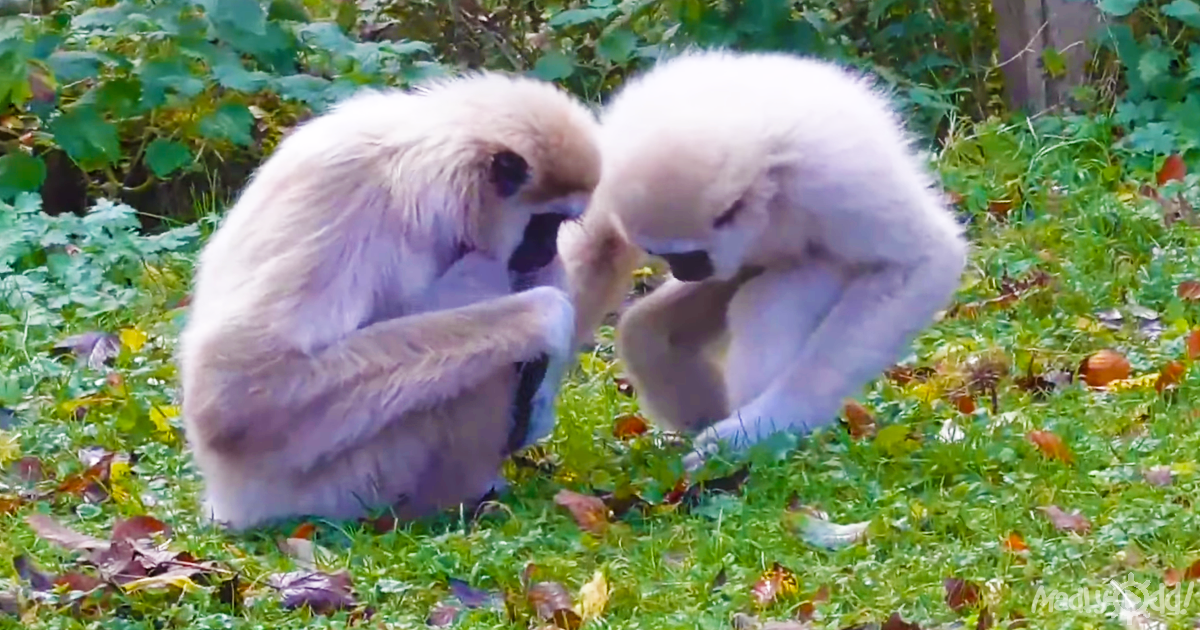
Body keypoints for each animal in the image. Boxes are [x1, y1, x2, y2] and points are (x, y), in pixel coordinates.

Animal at [176, 71, 601, 530]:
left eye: (558, 224)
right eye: (545, 223)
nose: (546, 249)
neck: (417, 183)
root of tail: (227, 502)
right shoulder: (341, 188)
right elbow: (235, 393)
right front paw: (548, 317)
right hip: (337, 486)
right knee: (484, 286)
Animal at [559, 49, 968, 470]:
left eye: (690, 256)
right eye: (664, 255)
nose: (683, 273)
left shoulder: (835, 181)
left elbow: (922, 261)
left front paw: (765, 423)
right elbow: (598, 252)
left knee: (770, 298)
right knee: (648, 330)